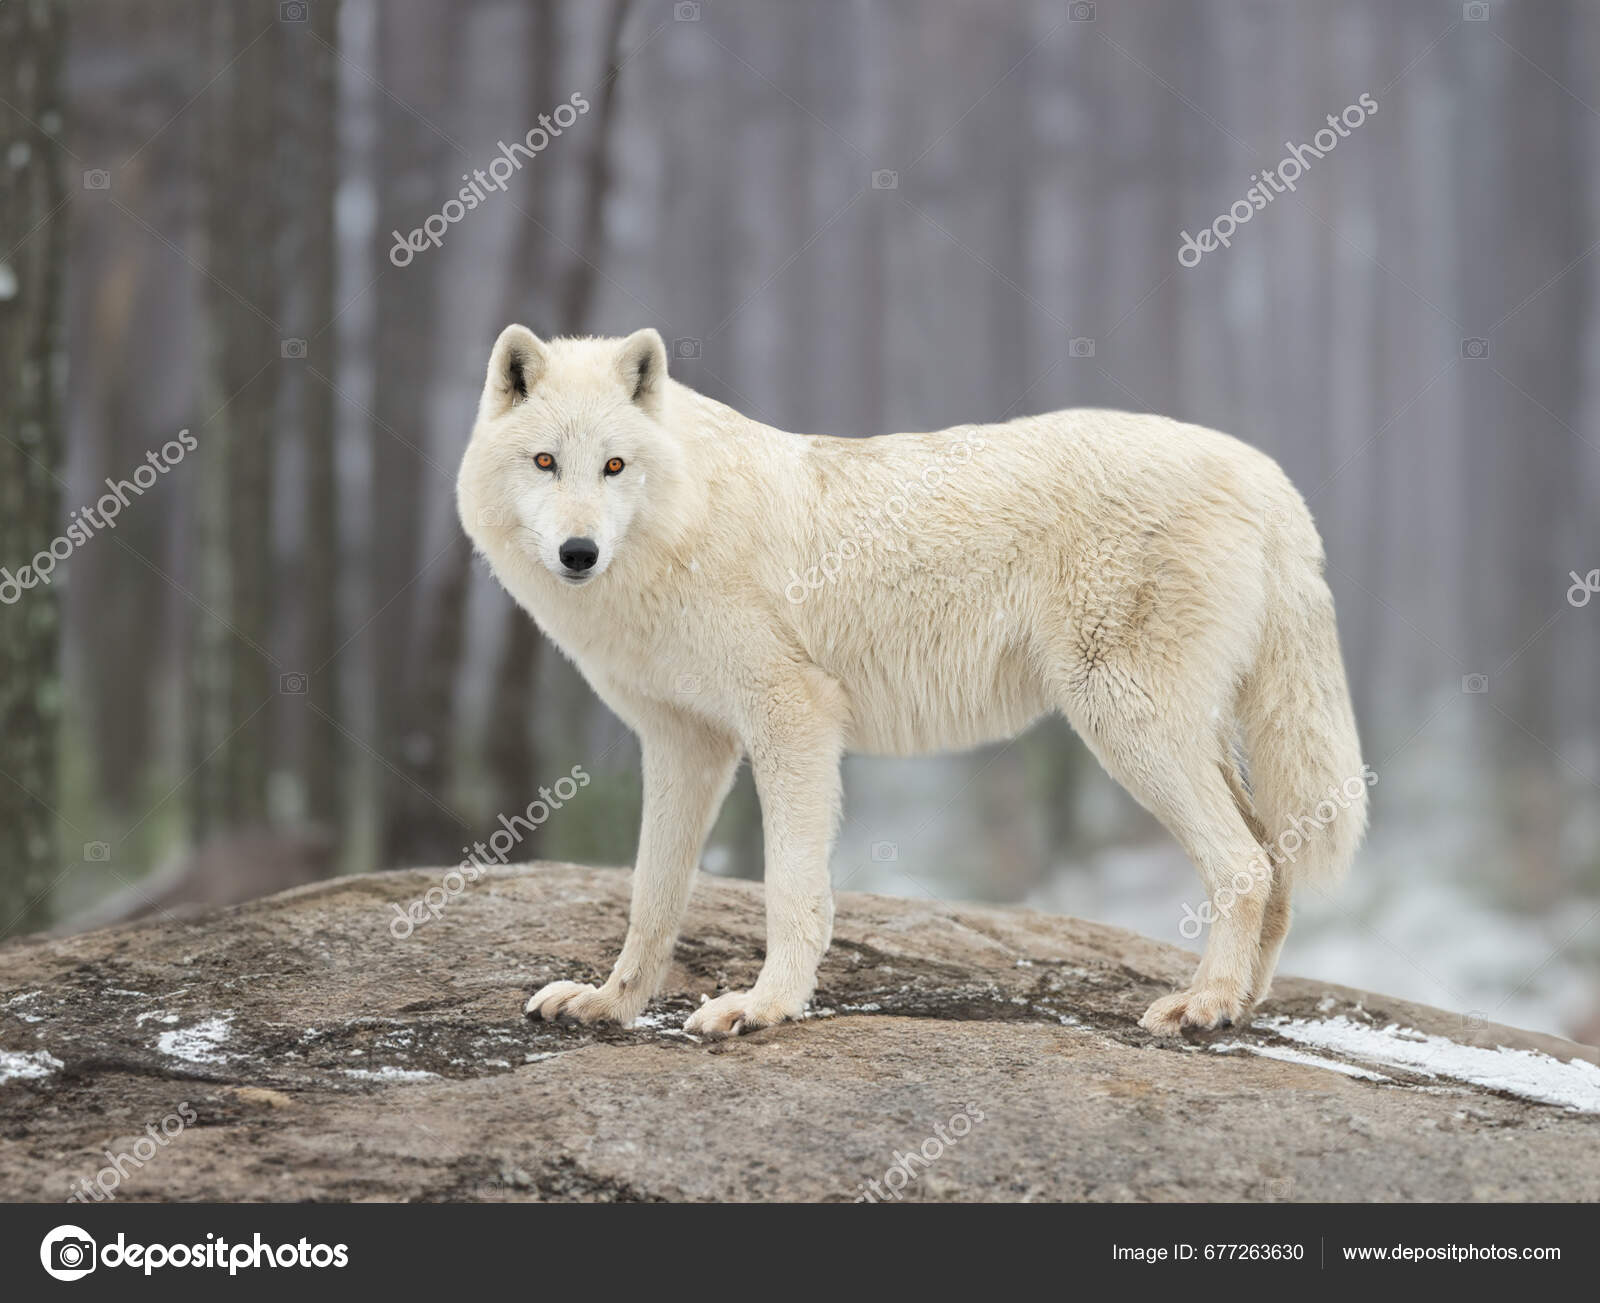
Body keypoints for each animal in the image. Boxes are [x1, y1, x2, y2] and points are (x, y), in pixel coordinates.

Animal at [457, 325, 1366, 1038]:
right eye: (546, 461)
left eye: (614, 465)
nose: (579, 552)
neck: (687, 520)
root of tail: (1265, 473)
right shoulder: (685, 742)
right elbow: (651, 896)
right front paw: (610, 1003)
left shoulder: (792, 716)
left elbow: (791, 888)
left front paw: (763, 1006)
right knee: (1273, 859)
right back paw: (1241, 1004)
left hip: (1124, 724)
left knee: (1244, 863)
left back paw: (1202, 1004)